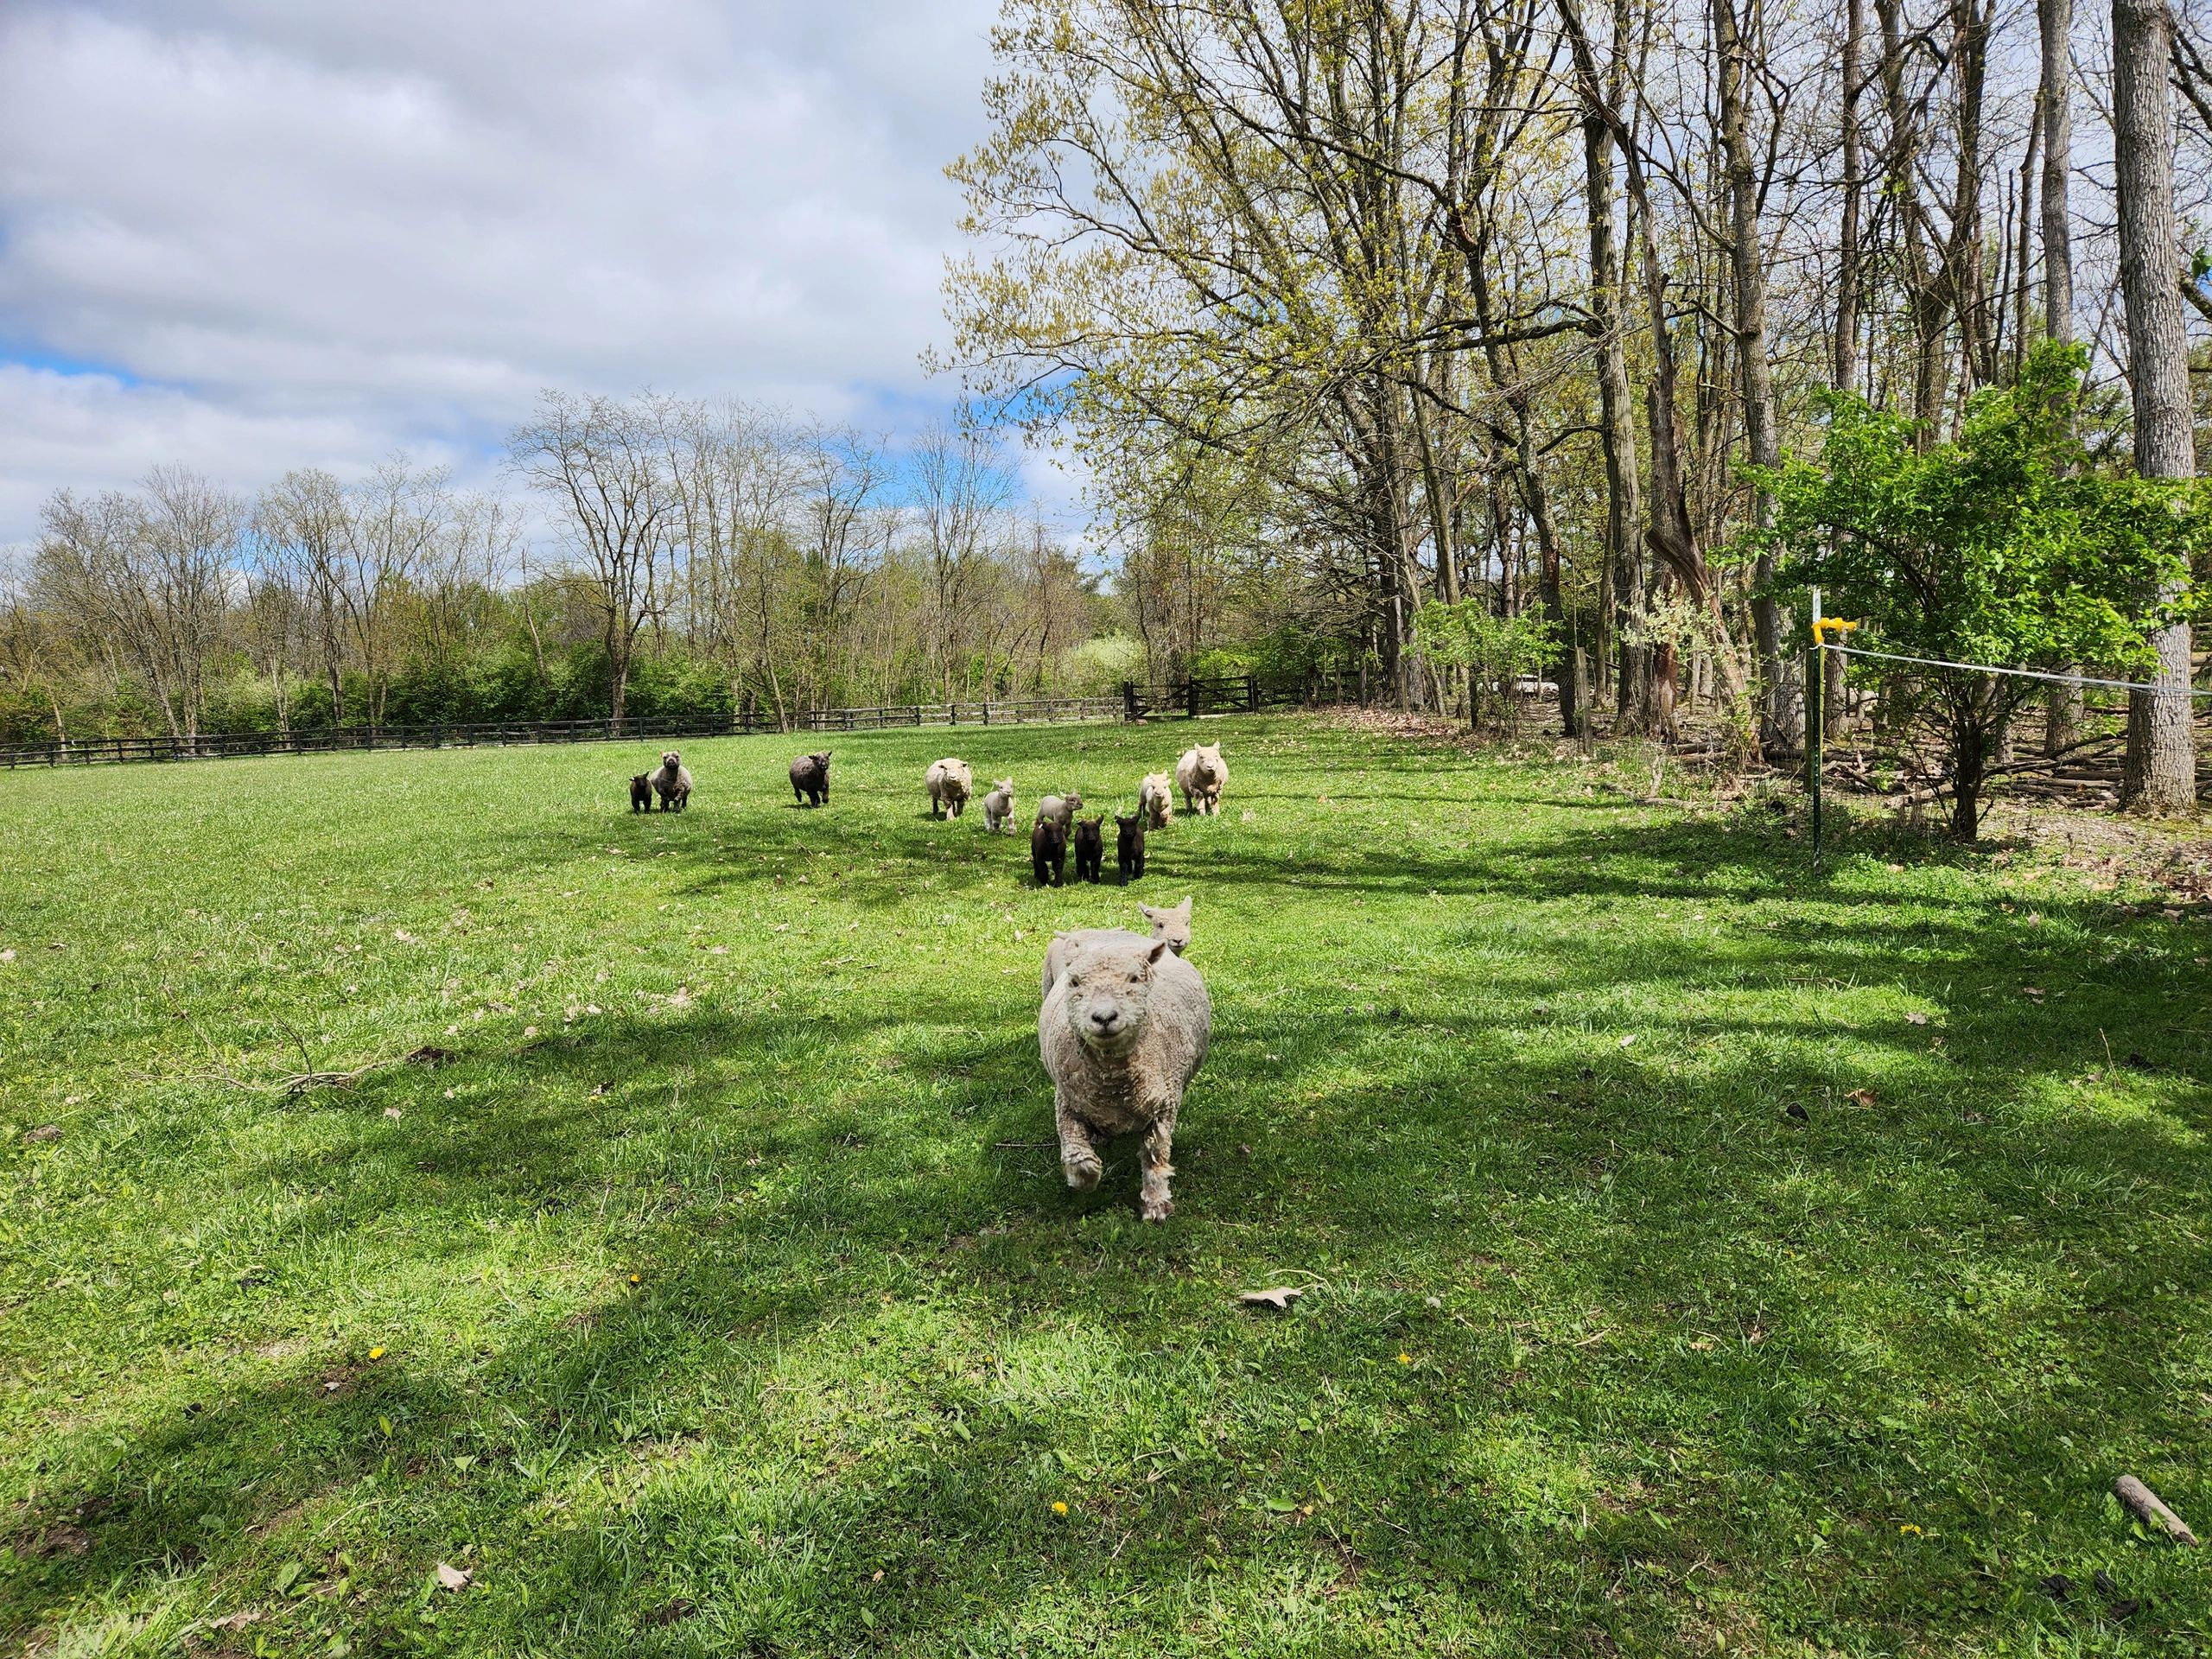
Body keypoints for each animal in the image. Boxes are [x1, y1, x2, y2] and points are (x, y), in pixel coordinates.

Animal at [1038, 930, 1211, 1222]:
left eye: (1134, 978)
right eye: (1075, 982)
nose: (1104, 1017)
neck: (1114, 1085)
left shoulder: (1163, 1108)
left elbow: (1155, 1156)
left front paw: (1156, 1203)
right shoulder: (1067, 1104)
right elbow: (1078, 1158)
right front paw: (1086, 1178)